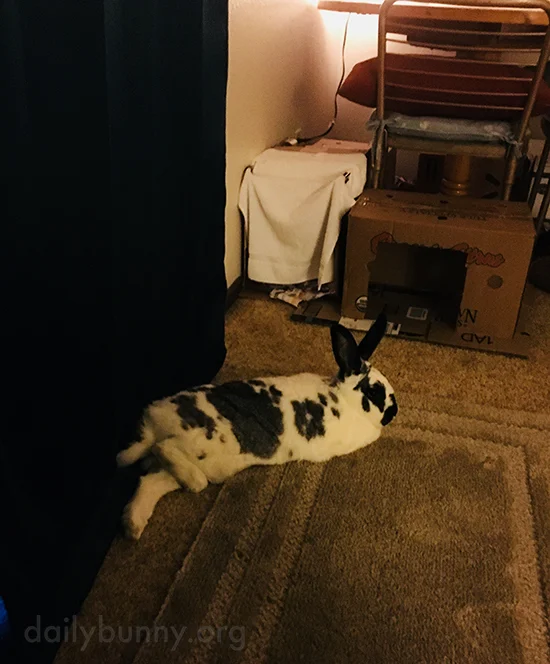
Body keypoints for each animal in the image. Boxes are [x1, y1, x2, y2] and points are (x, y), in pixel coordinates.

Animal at [117, 313, 397, 540]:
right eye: (374, 391)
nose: (394, 412)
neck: (345, 399)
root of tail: (151, 426)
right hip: (198, 441)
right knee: (164, 447)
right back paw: (194, 484)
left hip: (196, 463)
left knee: (148, 481)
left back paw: (133, 527)